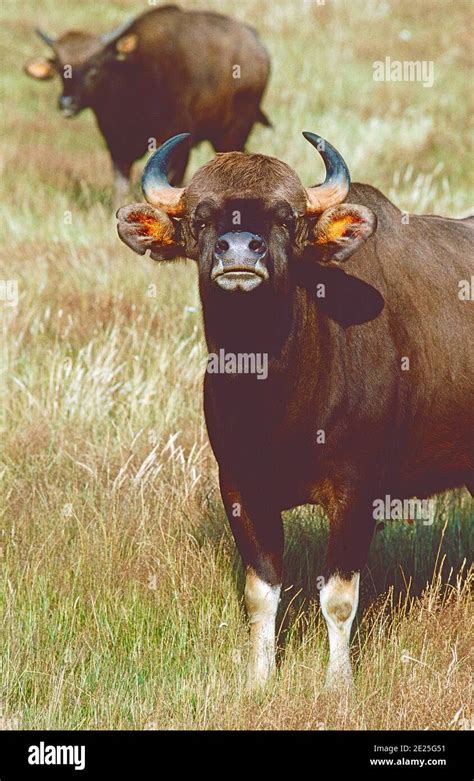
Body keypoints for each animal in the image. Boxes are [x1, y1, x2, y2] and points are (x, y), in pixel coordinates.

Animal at [24, 5, 271, 199]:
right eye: (59, 67)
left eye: (94, 65)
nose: (67, 103)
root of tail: (257, 45)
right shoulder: (117, 145)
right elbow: (121, 185)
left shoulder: (176, 142)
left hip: (234, 132)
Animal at [116, 131, 474, 691]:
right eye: (201, 218)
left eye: (285, 218)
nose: (241, 249)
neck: (275, 403)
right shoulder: (240, 488)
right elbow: (261, 594)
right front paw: (260, 677)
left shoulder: (356, 492)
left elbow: (340, 598)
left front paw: (338, 682)